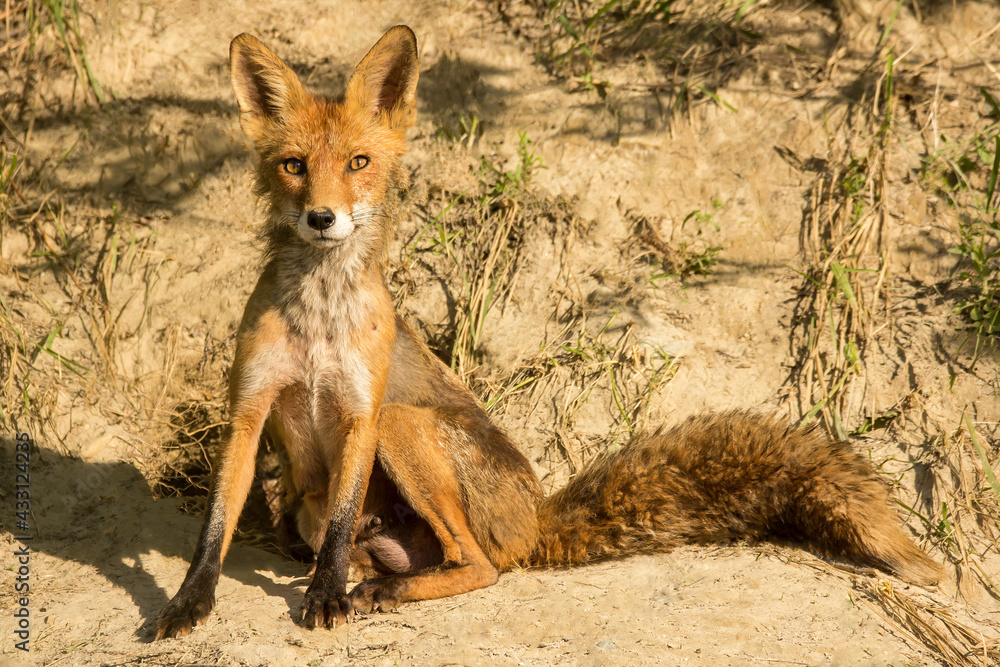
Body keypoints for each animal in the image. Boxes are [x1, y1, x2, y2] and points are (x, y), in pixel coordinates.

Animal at [153, 25, 941, 639]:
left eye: (358, 163)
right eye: (293, 166)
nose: (323, 218)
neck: (320, 320)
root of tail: (537, 517)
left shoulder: (362, 413)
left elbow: (342, 525)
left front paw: (323, 599)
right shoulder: (250, 408)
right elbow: (214, 525)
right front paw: (189, 604)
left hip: (403, 426)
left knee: (481, 565)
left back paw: (379, 590)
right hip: (331, 493)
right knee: (397, 551)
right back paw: (368, 578)